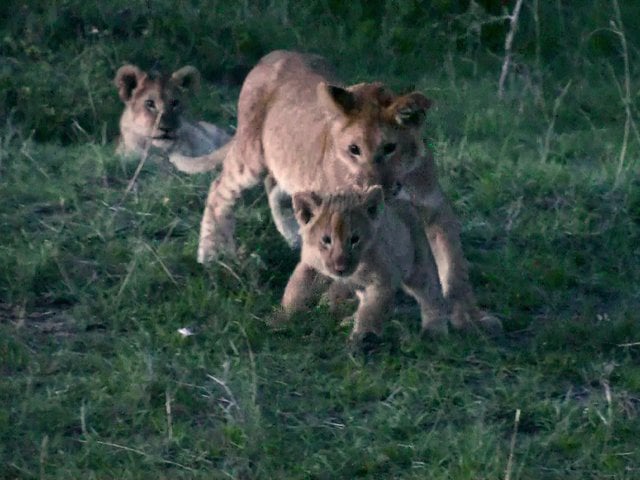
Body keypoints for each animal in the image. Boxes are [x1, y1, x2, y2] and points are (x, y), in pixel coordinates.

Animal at [280, 187, 448, 346]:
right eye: (326, 240)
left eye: (355, 239)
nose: (340, 268)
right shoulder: (310, 265)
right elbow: (296, 287)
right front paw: (289, 315)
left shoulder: (382, 281)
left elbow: (371, 313)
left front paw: (361, 339)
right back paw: (348, 320)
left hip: (418, 265)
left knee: (431, 295)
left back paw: (435, 331)